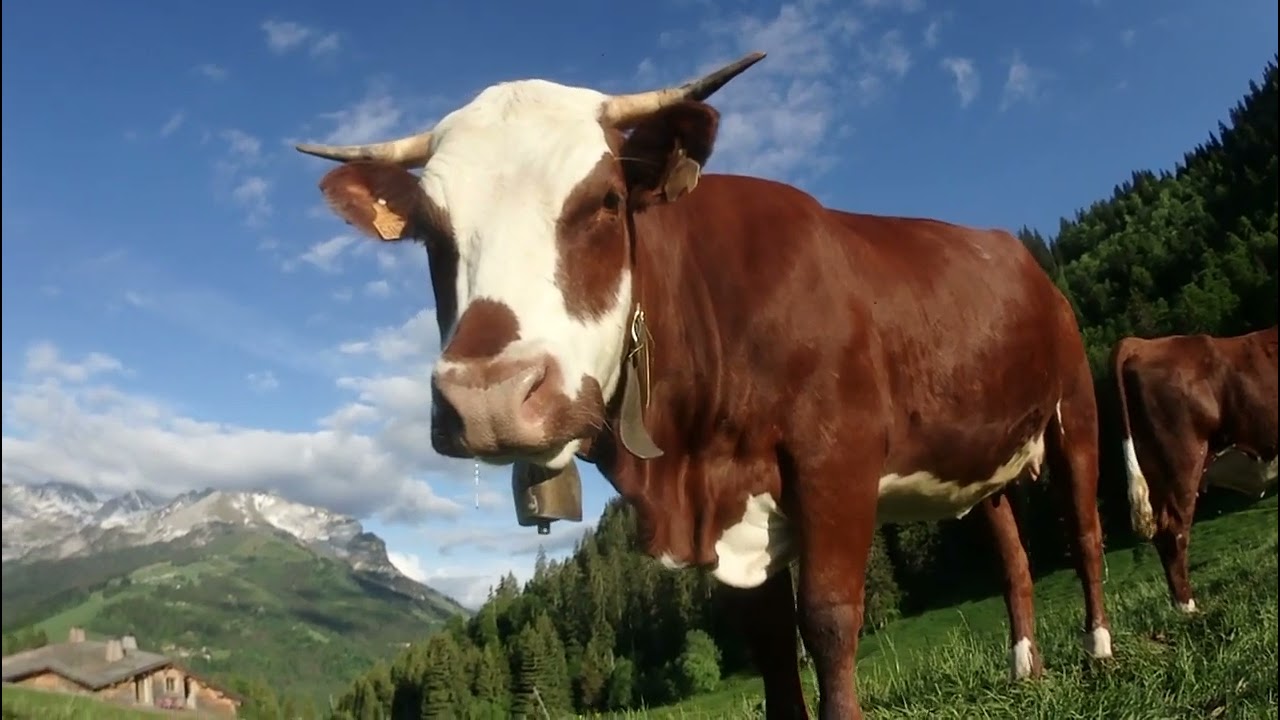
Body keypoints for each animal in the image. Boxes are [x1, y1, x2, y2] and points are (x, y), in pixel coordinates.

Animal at [295, 52, 1114, 719]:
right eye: (430, 232)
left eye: (606, 201)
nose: (491, 397)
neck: (689, 465)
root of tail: (1014, 252)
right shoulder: (732, 506)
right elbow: (771, 646)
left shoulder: (837, 457)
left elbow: (828, 618)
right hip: (985, 454)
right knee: (1012, 554)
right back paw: (1025, 669)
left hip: (1076, 407)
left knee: (1084, 530)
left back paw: (1100, 651)